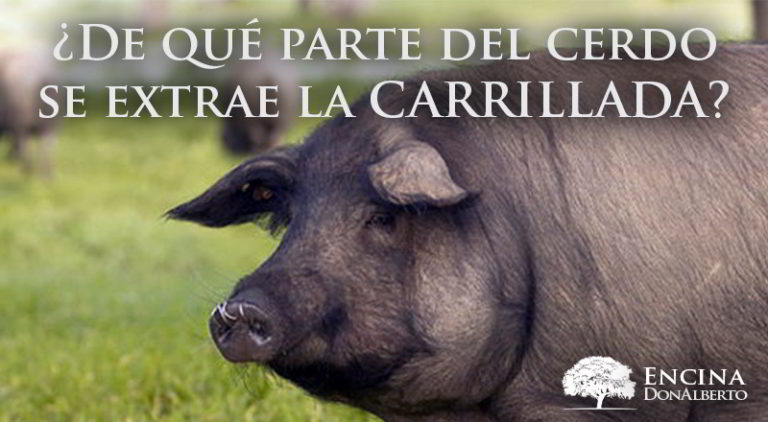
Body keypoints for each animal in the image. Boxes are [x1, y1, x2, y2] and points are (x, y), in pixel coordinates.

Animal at [0, 49, 56, 177]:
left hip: (22, 121)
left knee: (25, 144)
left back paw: (27, 170)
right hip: (50, 125)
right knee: (47, 145)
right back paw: (47, 174)